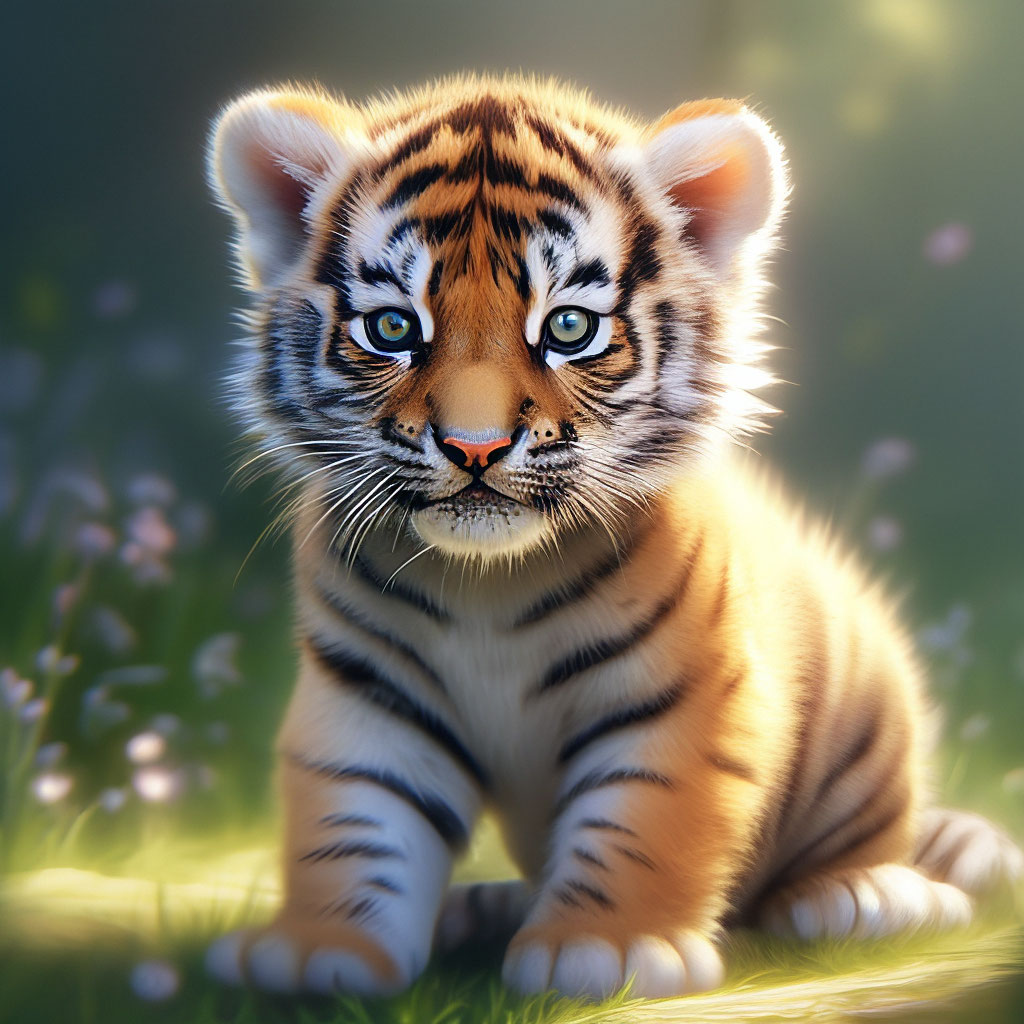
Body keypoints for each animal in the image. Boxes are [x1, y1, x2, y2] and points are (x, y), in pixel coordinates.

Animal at [202, 75, 1022, 1001]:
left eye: (568, 329)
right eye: (392, 330)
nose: (474, 447)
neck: (488, 584)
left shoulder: (682, 692)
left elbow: (645, 815)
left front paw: (608, 949)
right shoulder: (368, 690)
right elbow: (354, 814)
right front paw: (319, 950)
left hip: (870, 712)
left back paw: (865, 896)